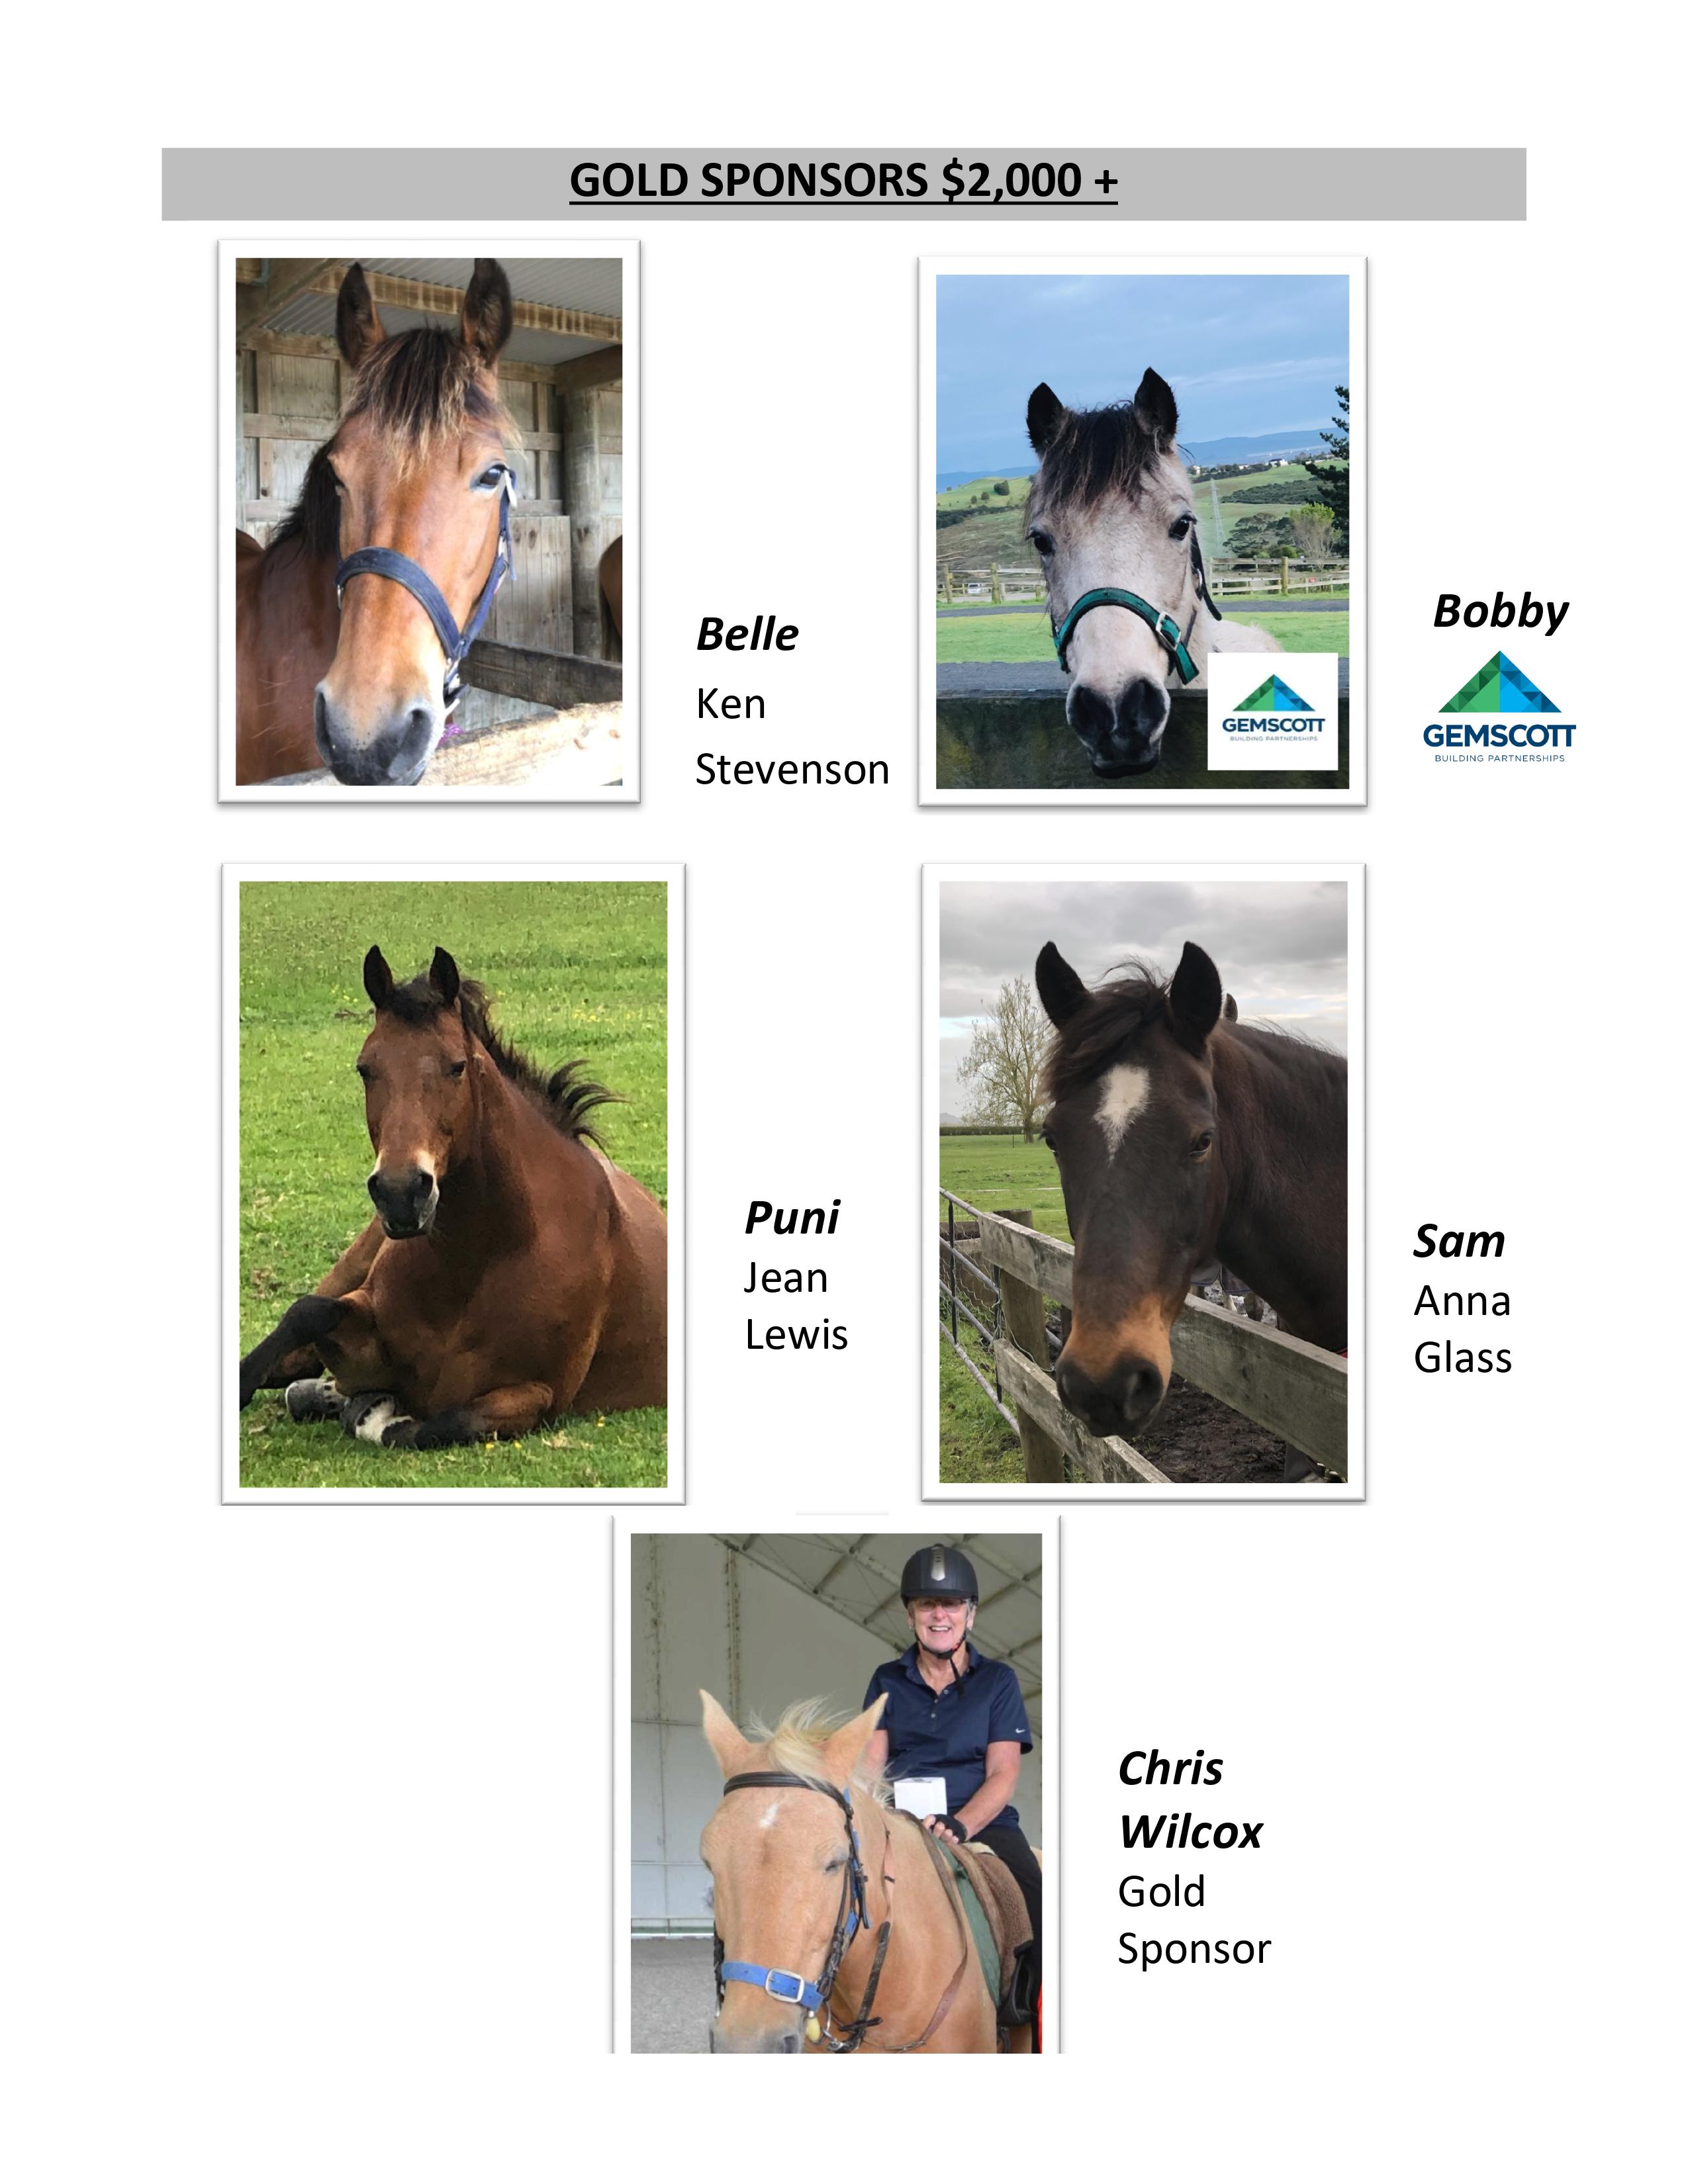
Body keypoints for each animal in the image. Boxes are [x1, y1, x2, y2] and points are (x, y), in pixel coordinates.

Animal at [237, 946, 667, 1448]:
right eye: (365, 1069)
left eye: (456, 1066)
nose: (400, 1193)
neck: (480, 1256)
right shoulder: (368, 1341)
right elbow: (306, 1312)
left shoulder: (535, 1396)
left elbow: (434, 1424)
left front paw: (373, 1413)